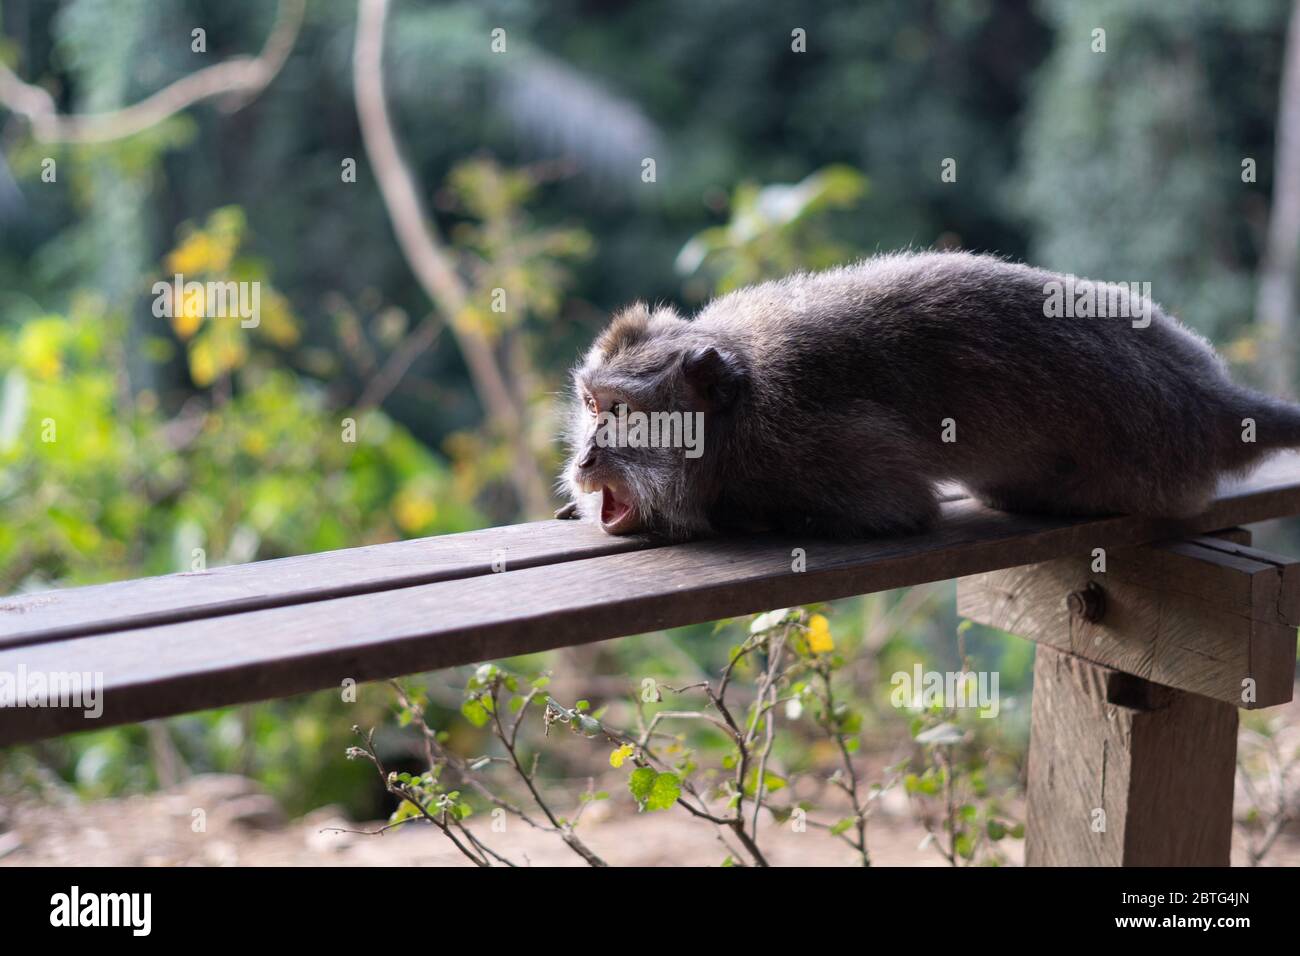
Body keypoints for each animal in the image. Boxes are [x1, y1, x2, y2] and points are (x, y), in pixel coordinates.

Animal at [557, 250, 1300, 540]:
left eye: (625, 416)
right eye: (592, 408)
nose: (586, 461)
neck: (736, 409)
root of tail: (1213, 399)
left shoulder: (809, 447)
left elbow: (898, 506)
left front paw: (737, 514)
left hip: (1147, 470)